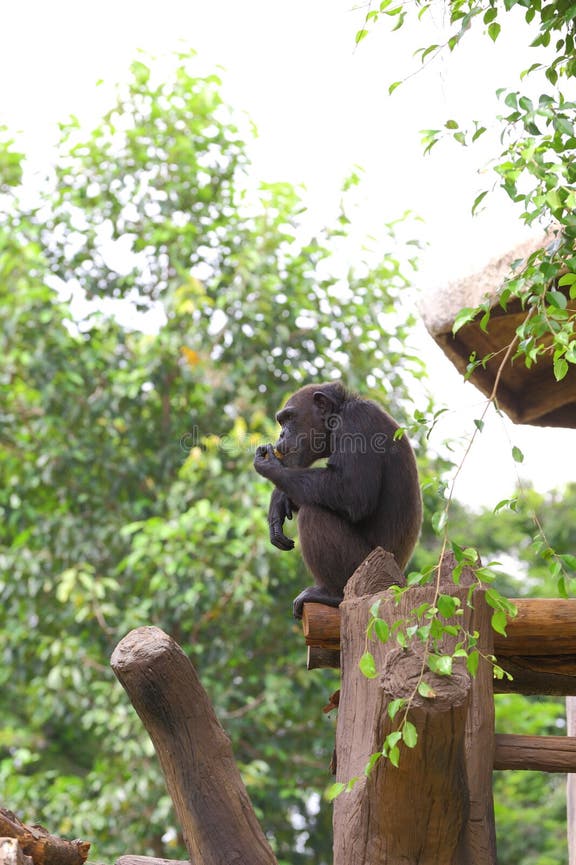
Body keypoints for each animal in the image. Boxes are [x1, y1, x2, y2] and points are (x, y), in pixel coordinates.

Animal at [253, 381, 422, 618]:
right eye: (282, 420)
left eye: (289, 417)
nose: (281, 433)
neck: (337, 417)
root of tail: (398, 579)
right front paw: (278, 502)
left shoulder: (356, 422)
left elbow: (351, 491)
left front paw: (270, 467)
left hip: (364, 568)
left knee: (314, 513)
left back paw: (332, 594)